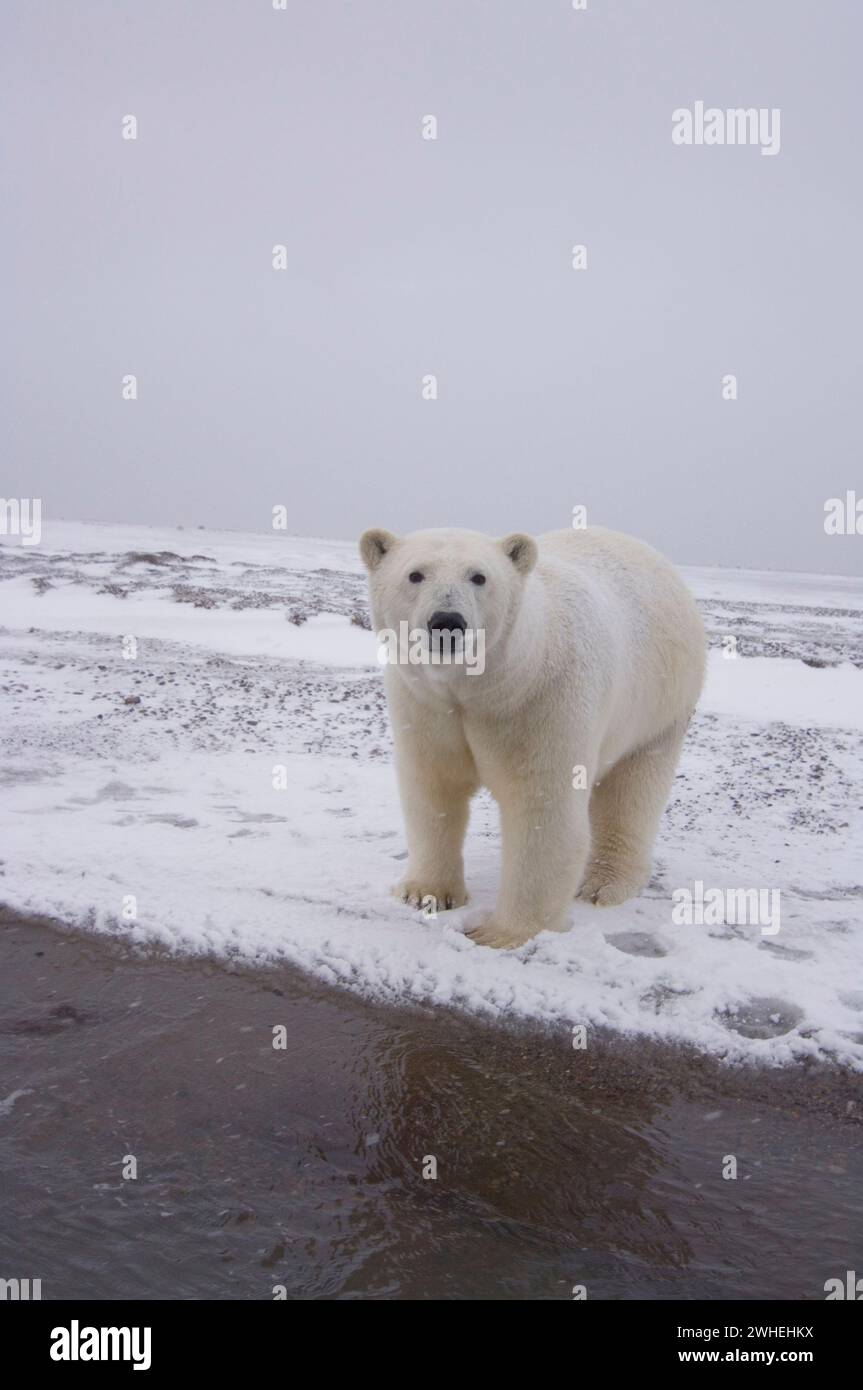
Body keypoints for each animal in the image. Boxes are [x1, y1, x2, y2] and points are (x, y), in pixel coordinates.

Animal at [359, 525, 706, 949]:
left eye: (479, 576)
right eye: (415, 574)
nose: (446, 622)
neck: (486, 688)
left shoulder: (543, 700)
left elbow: (542, 806)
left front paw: (501, 933)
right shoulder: (425, 705)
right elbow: (433, 788)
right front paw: (425, 893)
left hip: (659, 702)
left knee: (633, 789)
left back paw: (605, 883)